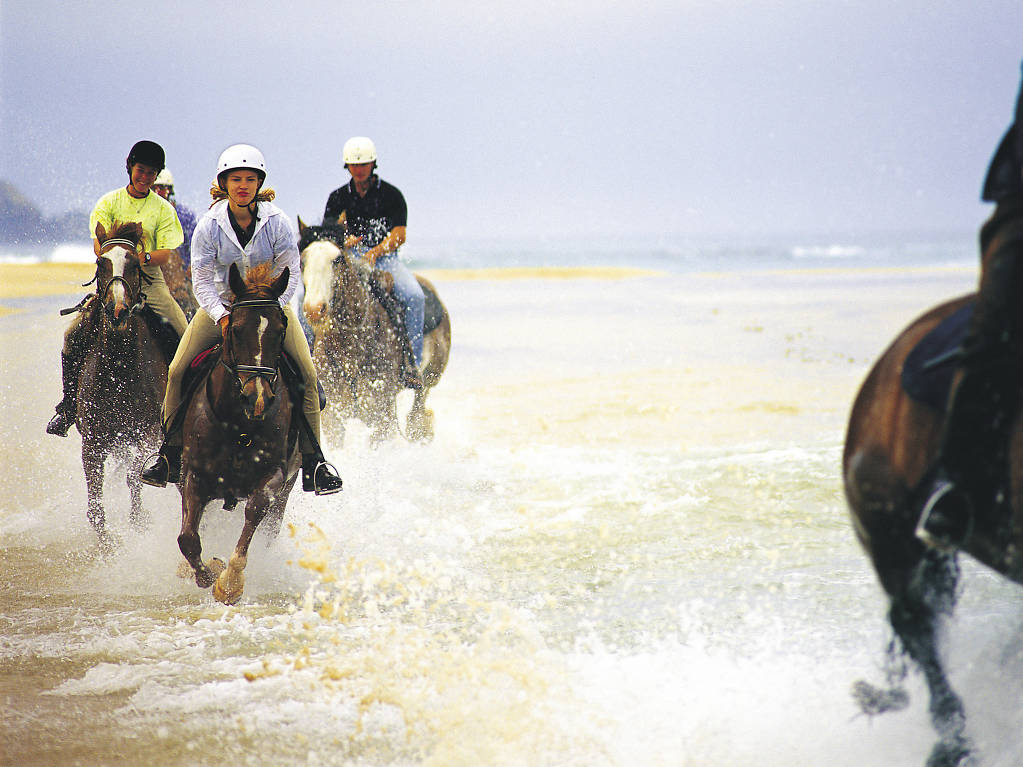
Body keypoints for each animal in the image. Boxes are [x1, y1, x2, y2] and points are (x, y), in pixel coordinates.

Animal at [74, 221, 167, 547]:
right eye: (100, 263)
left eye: (136, 264)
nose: (118, 310)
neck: (119, 372)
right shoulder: (94, 441)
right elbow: (94, 500)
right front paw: (106, 544)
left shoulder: (147, 434)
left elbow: (135, 477)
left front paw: (139, 523)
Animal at [176, 262, 301, 605]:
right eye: (236, 330)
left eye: (280, 331)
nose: (256, 398)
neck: (239, 426)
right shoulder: (194, 474)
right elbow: (188, 537)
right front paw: (207, 573)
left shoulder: (274, 476)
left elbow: (254, 511)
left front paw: (229, 582)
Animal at [297, 221, 451, 444]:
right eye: (302, 260)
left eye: (338, 259)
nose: (315, 309)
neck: (351, 348)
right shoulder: (333, 418)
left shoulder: (380, 415)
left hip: (430, 377)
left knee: (418, 413)